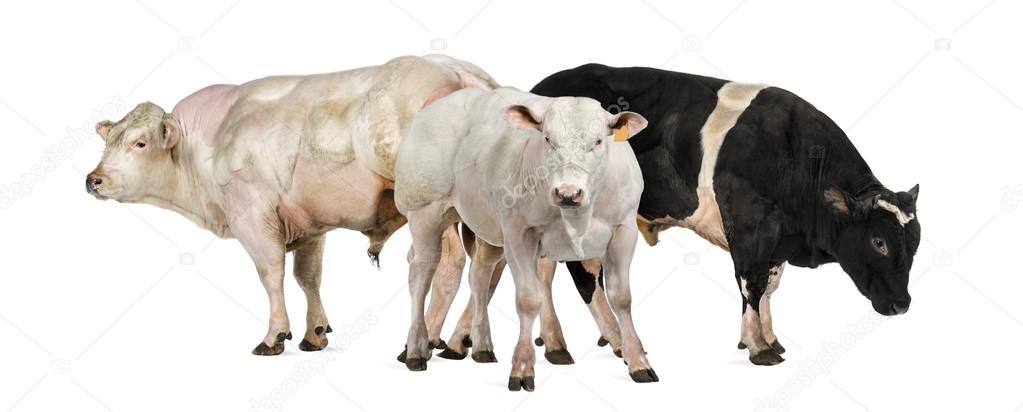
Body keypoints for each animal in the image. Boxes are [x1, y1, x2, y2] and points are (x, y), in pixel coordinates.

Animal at [85, 55, 497, 356]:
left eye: (140, 142)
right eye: (110, 141)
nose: (93, 179)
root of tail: (454, 69)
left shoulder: (253, 216)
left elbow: (272, 273)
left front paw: (275, 335)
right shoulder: (309, 223)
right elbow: (308, 276)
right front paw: (315, 332)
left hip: (429, 209)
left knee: (448, 265)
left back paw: (423, 342)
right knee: (487, 268)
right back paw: (461, 340)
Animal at [393, 86, 656, 391]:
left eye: (598, 141)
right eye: (548, 139)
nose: (568, 193)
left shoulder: (624, 230)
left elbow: (621, 297)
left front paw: (638, 361)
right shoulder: (519, 234)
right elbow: (529, 300)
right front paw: (521, 367)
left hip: (488, 227)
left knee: (479, 275)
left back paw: (481, 346)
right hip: (424, 212)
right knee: (421, 275)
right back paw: (416, 349)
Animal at [437, 64, 922, 366]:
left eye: (913, 245)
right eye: (878, 241)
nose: (902, 304)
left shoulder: (777, 241)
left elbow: (769, 286)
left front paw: (768, 337)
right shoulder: (749, 225)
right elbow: (750, 283)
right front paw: (758, 347)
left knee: (545, 270)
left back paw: (552, 341)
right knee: (580, 276)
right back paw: (614, 342)